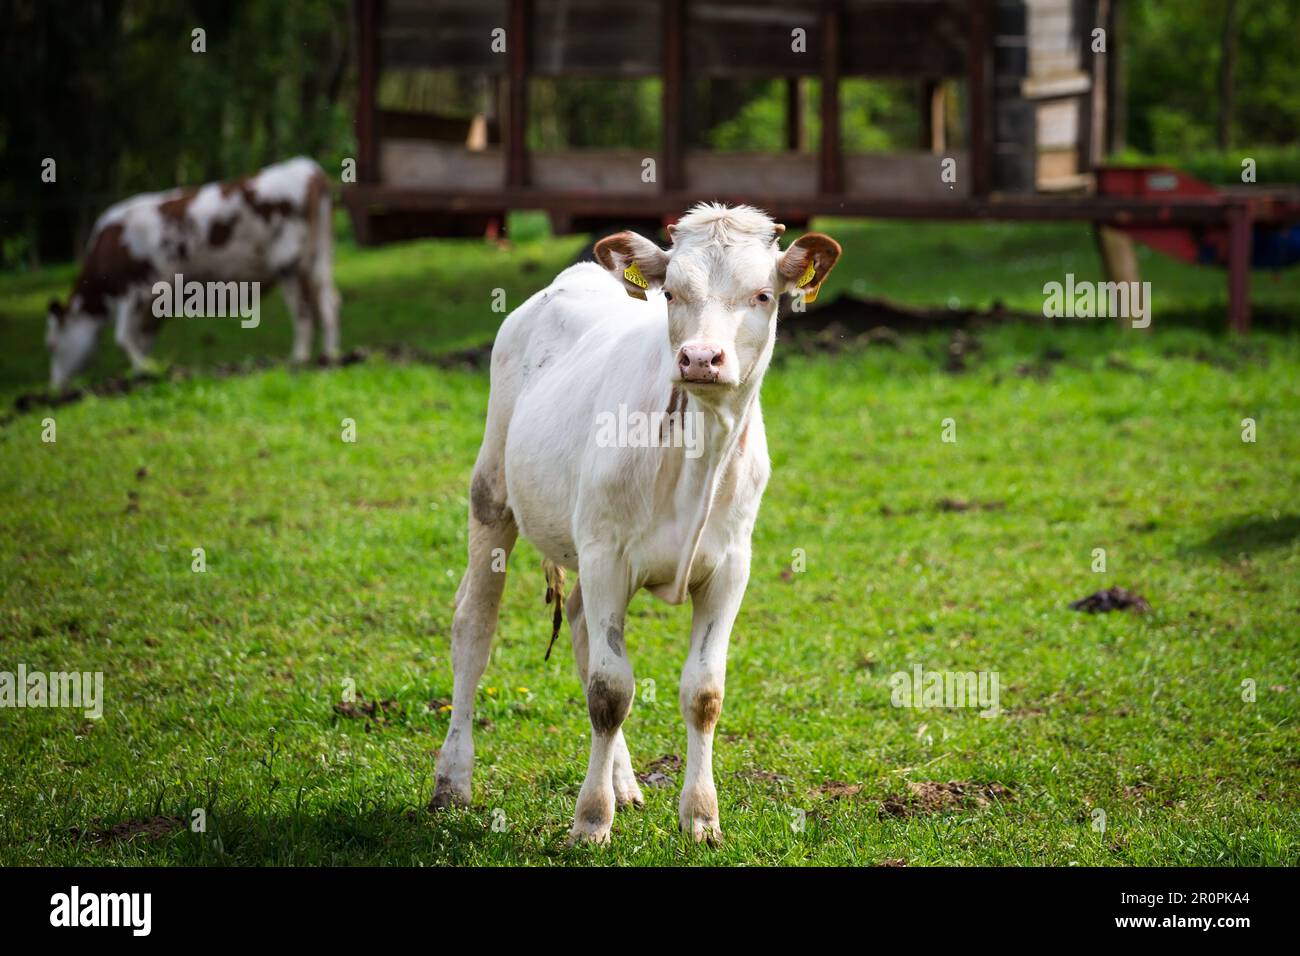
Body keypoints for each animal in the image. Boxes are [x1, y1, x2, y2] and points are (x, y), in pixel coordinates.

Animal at [45, 156, 340, 389]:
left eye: (53, 344)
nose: (55, 386)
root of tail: (308, 169)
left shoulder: (135, 289)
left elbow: (123, 339)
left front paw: (144, 369)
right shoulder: (156, 304)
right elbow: (142, 340)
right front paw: (147, 371)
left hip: (289, 264)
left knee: (303, 312)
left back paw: (298, 358)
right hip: (319, 260)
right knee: (328, 304)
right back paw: (329, 356)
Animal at [431, 203, 841, 844]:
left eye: (763, 295)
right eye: (671, 292)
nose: (700, 358)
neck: (697, 454)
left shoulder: (730, 566)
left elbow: (703, 692)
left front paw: (700, 815)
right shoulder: (606, 555)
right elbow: (610, 690)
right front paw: (590, 820)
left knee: (579, 626)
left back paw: (623, 782)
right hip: (491, 493)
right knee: (474, 627)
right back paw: (453, 780)